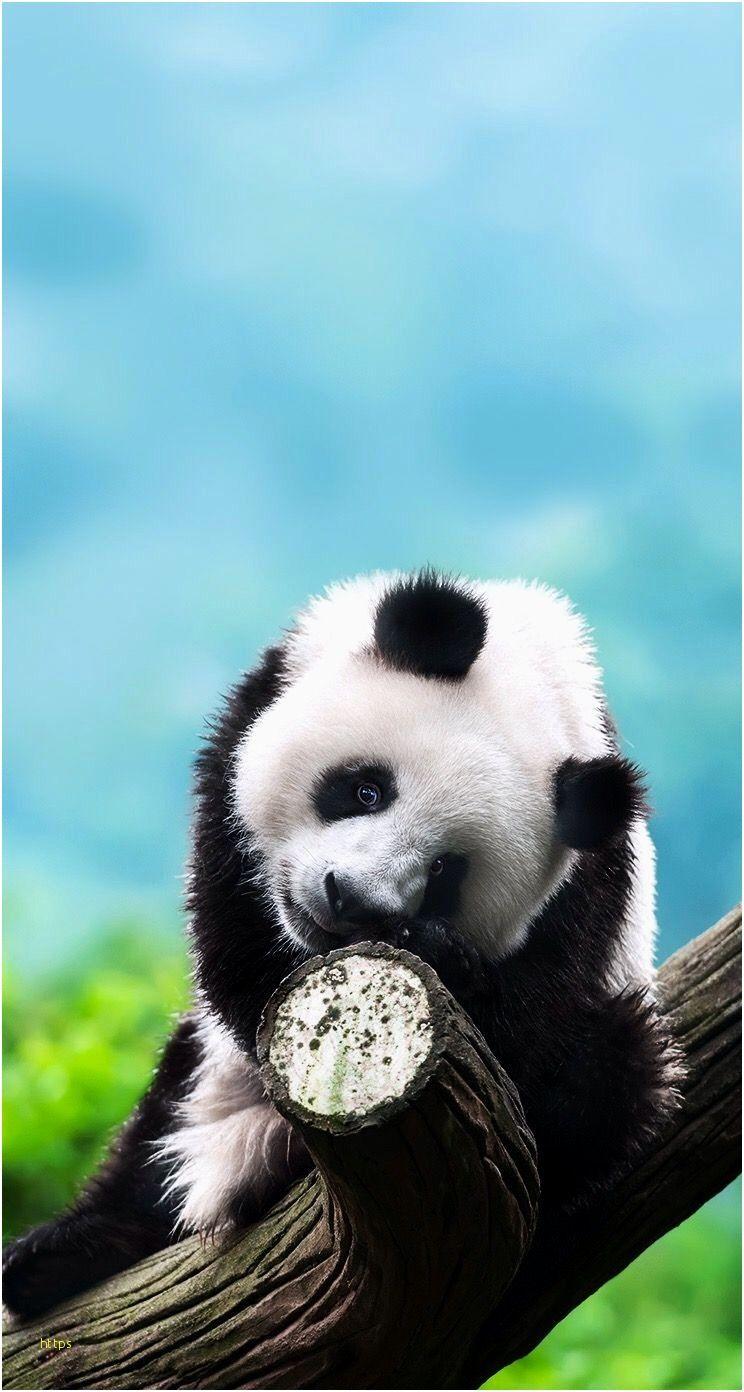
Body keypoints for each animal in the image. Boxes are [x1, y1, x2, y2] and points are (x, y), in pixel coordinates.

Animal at [3, 569, 680, 1320]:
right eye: (366, 790)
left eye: (445, 873)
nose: (349, 899)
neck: (534, 671)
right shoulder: (258, 712)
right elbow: (237, 945)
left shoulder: (586, 899)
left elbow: (541, 1045)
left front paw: (446, 960)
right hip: (207, 1078)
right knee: (164, 1115)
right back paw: (64, 1254)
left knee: (617, 1072)